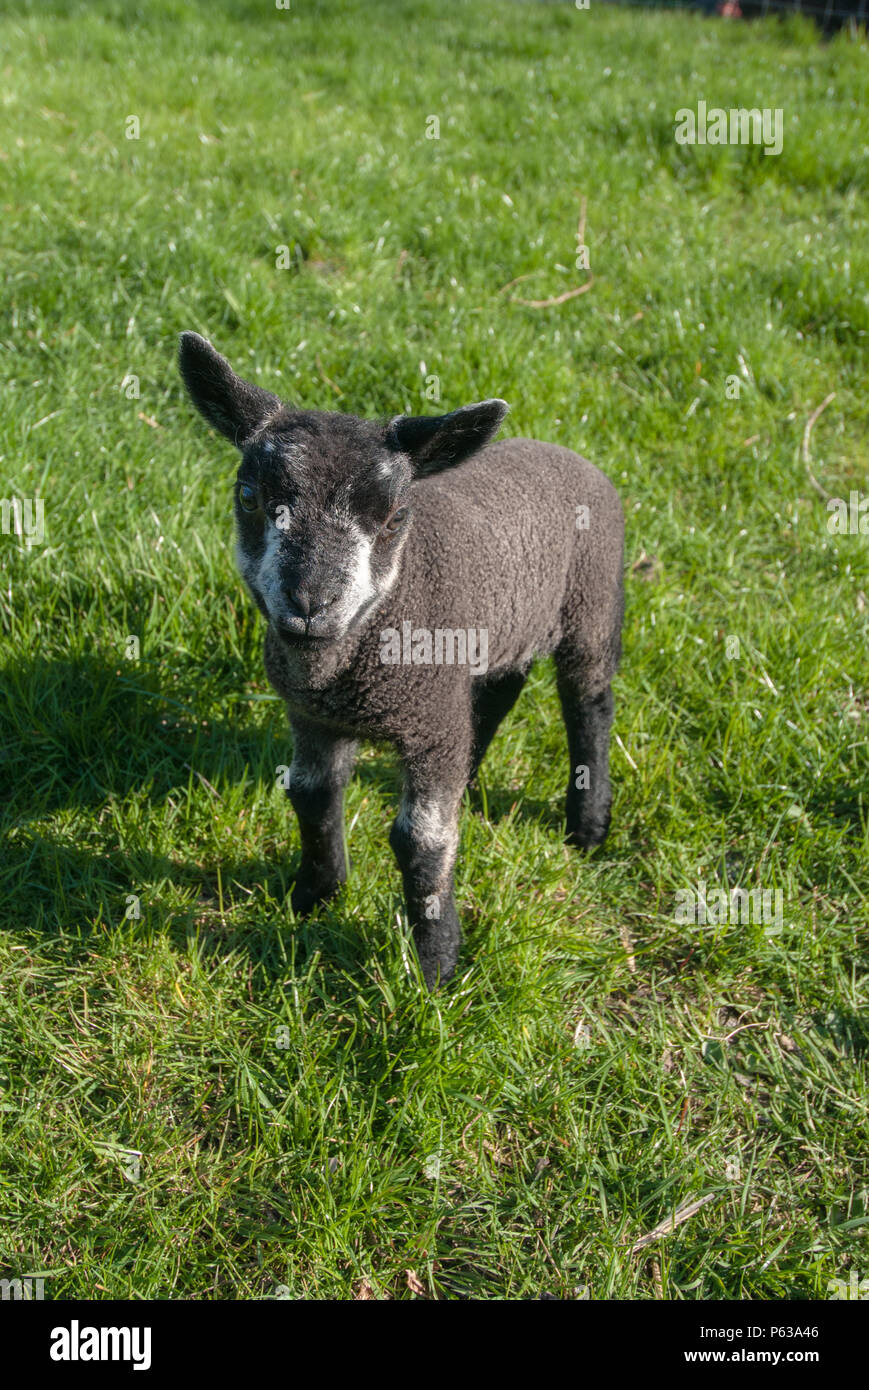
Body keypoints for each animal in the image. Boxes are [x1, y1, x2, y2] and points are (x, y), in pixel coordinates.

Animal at [178, 331, 624, 988]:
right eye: (250, 496)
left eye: (394, 519)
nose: (309, 602)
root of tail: (569, 453)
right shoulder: (314, 716)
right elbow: (311, 794)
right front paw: (315, 895)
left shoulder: (427, 720)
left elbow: (423, 841)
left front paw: (437, 966)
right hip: (502, 627)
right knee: (500, 689)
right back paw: (475, 776)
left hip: (591, 604)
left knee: (588, 702)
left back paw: (588, 825)